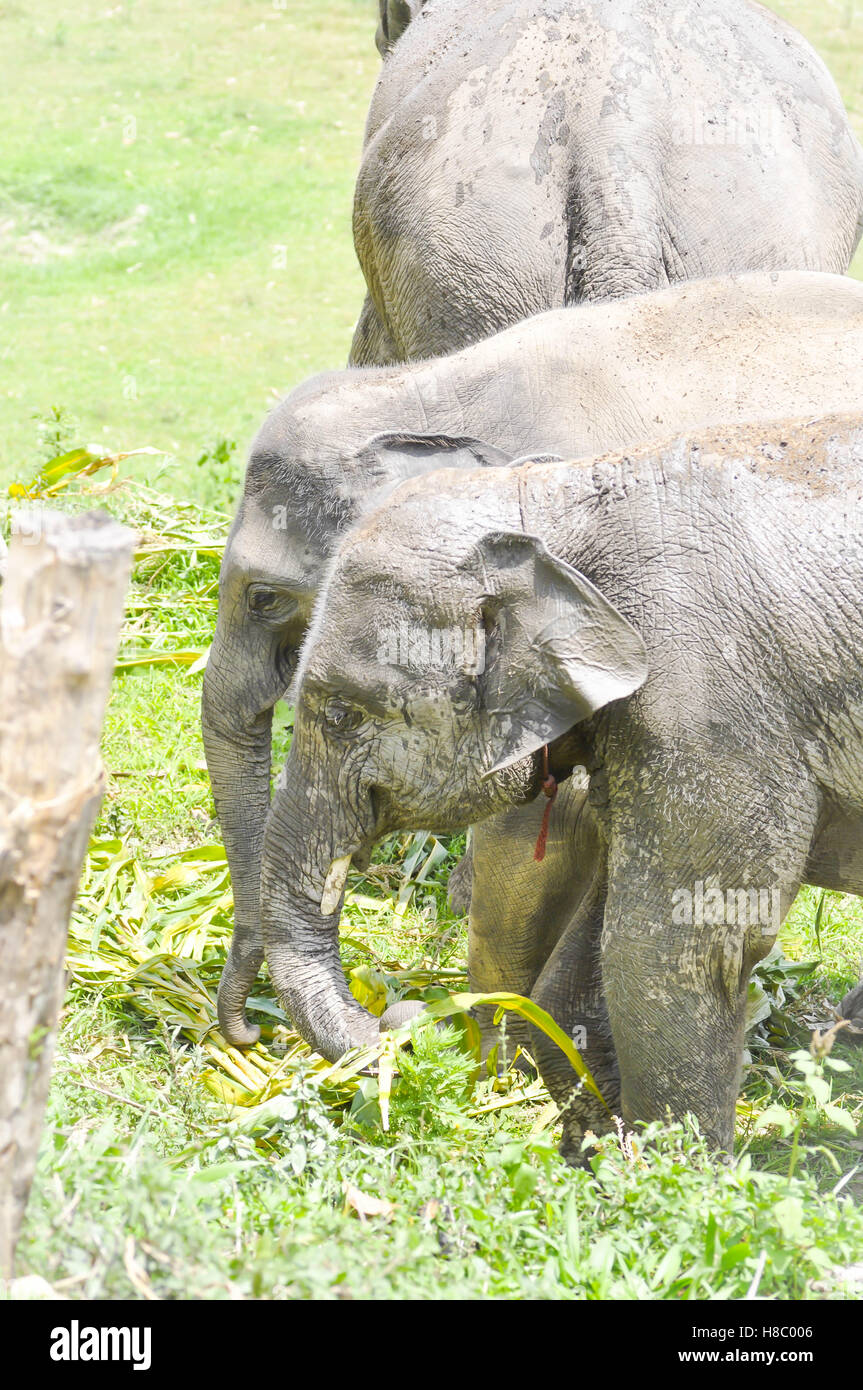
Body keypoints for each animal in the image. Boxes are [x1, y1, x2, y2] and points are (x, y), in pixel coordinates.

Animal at [258, 411, 863, 1157]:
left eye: (341, 713)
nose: (403, 1016)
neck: (554, 502)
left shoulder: (713, 714)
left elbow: (669, 948)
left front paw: (674, 1174)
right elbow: (590, 950)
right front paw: (599, 1146)